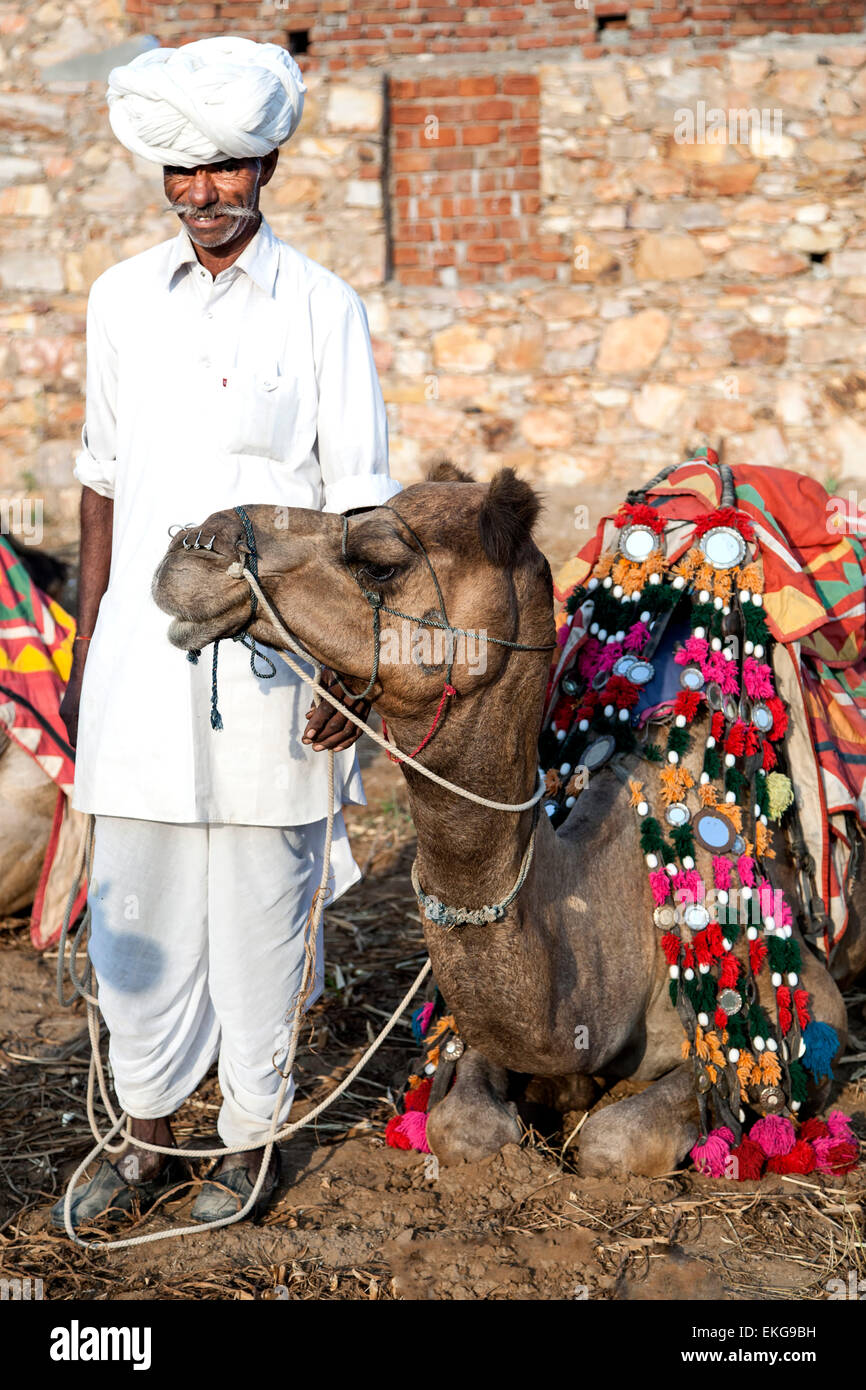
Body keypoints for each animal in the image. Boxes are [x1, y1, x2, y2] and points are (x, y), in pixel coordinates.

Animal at [152, 465, 865, 1177]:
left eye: (378, 561)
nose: (193, 543)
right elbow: (461, 1124)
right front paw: (557, 1091)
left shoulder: (802, 1008)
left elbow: (618, 1139)